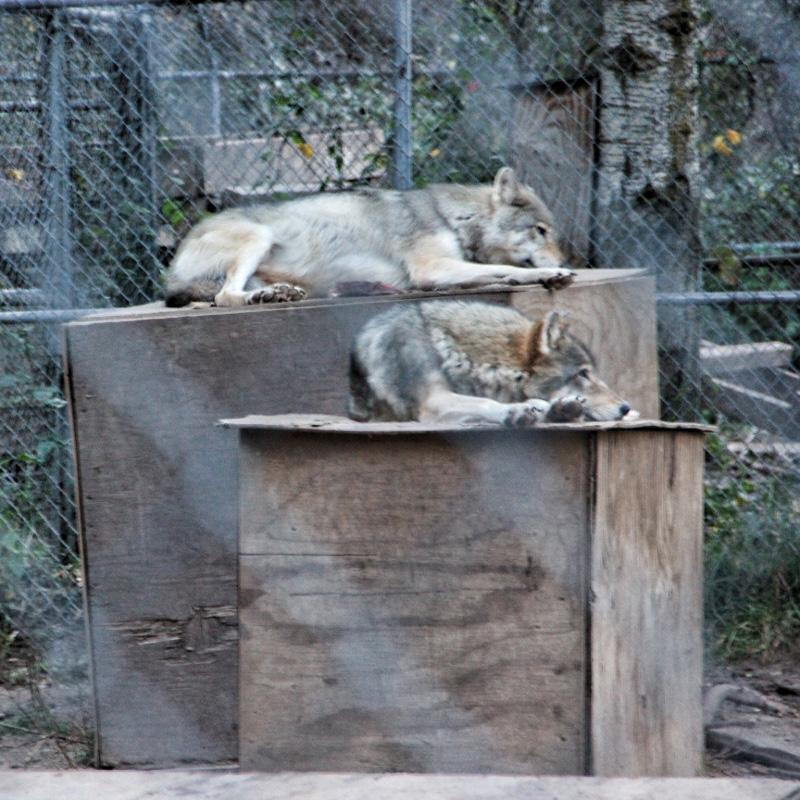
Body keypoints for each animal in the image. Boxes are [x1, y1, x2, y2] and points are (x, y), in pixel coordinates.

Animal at [163, 167, 575, 307]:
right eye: (540, 231)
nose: (563, 261)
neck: (453, 217)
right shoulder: (431, 269)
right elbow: (512, 271)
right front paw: (548, 274)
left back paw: (275, 294)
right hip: (258, 236)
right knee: (223, 296)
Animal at [348, 301, 637, 426]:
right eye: (583, 374)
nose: (625, 407)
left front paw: (554, 409)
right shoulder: (433, 400)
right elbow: (486, 402)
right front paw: (514, 412)